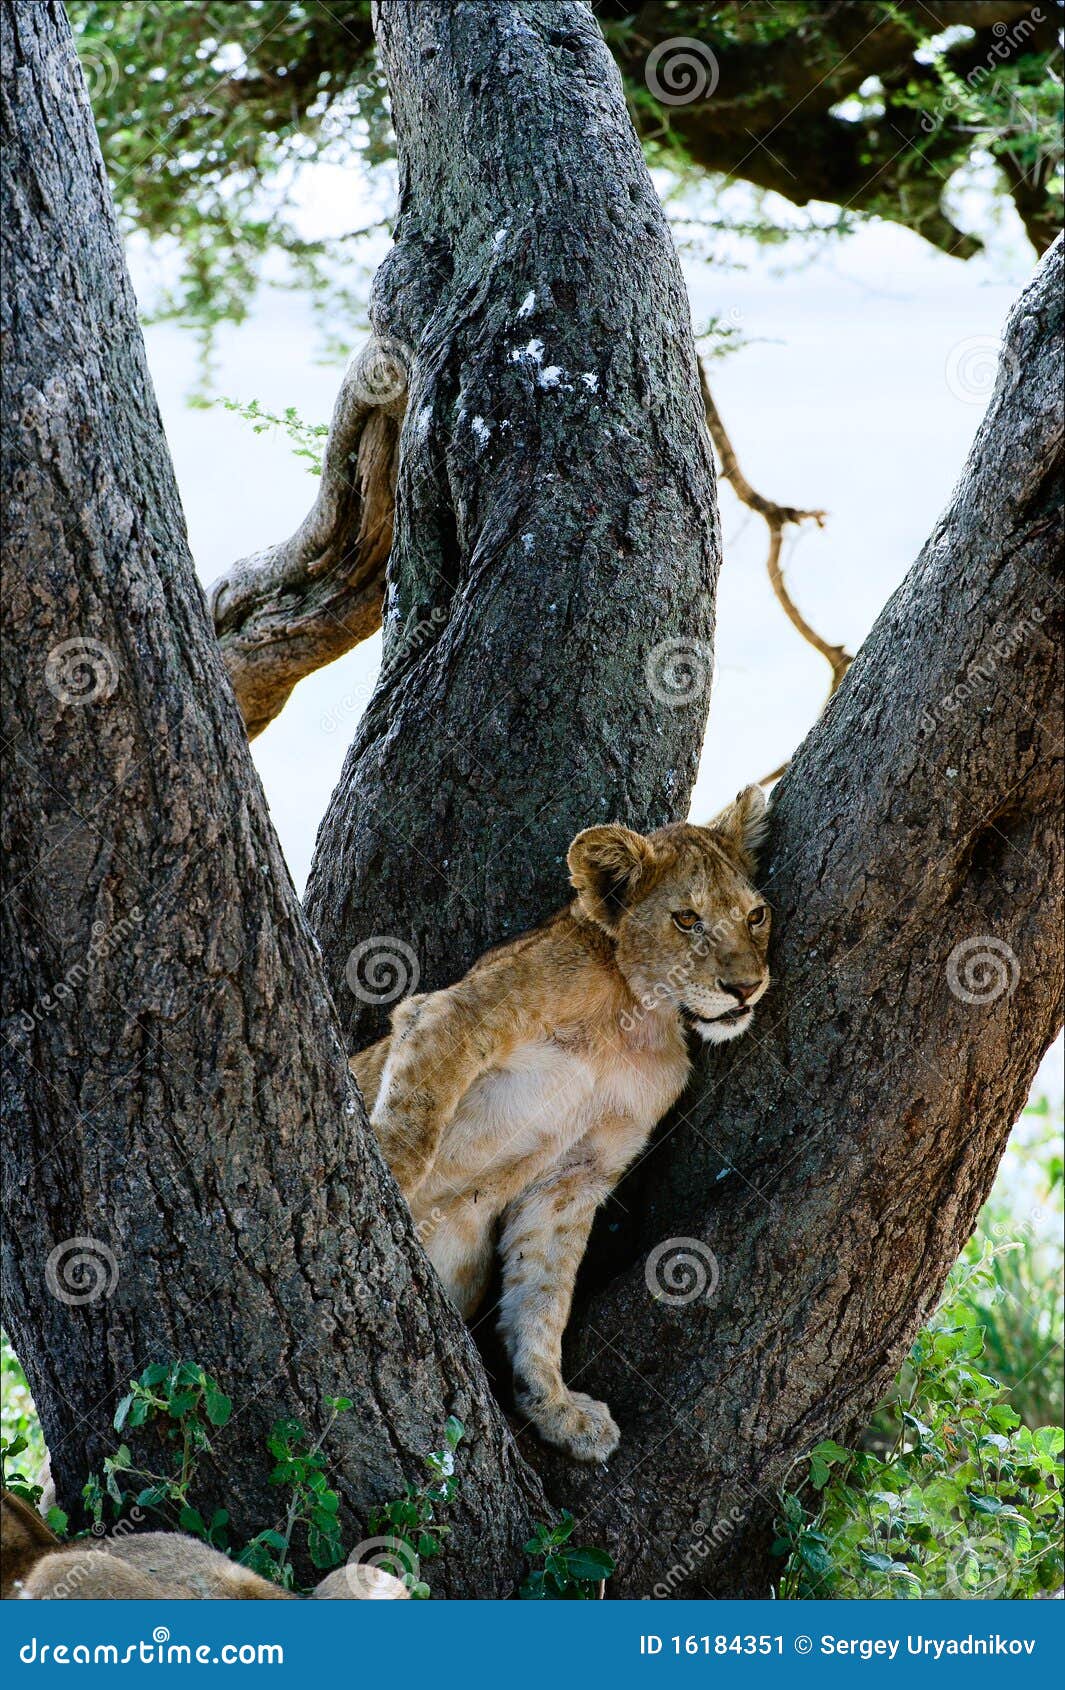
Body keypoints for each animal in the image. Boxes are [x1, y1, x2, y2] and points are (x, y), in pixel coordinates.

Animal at [350, 785, 771, 1463]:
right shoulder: (447, 1014)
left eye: (756, 916)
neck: (632, 1018)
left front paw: (554, 1407)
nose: (746, 988)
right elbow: (408, 1140)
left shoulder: (572, 1178)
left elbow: (543, 1299)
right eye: (687, 920)